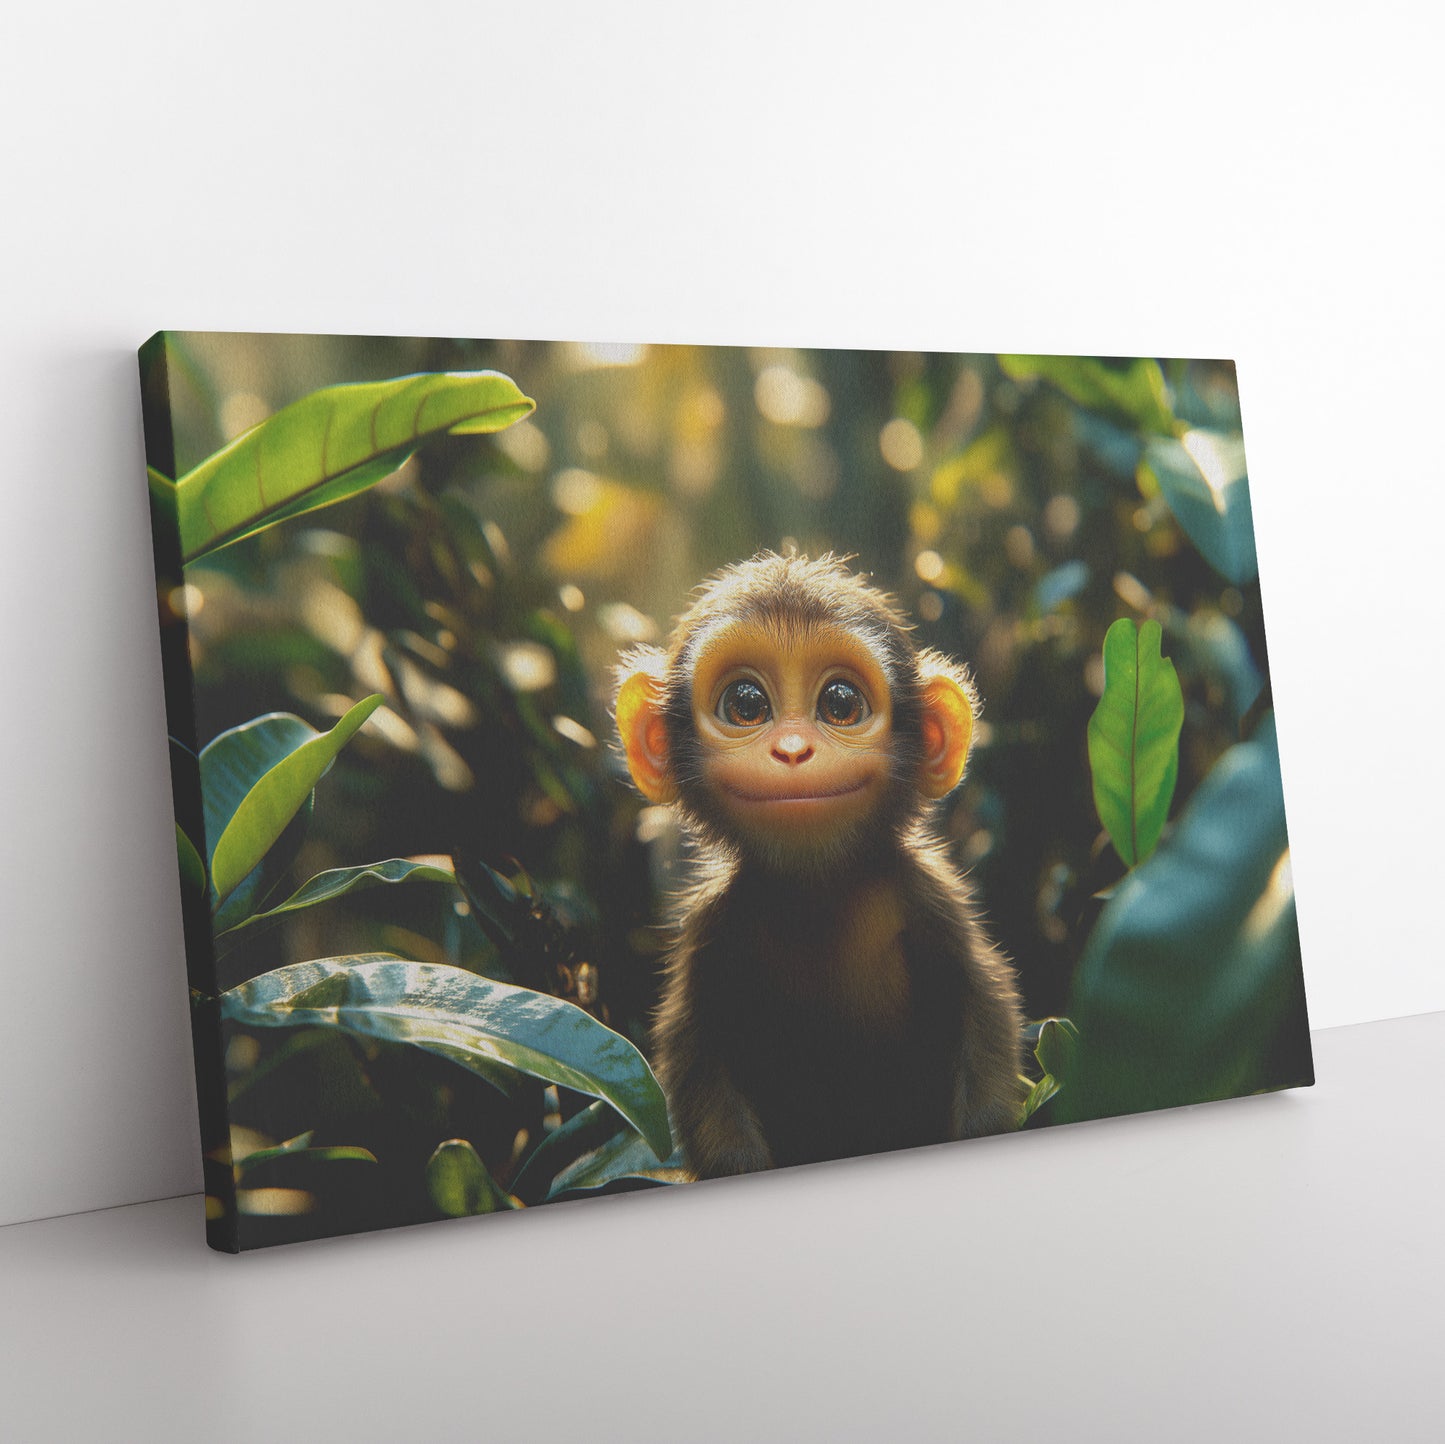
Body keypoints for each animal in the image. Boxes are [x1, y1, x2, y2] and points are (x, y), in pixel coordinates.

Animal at [615, 551, 1024, 1180]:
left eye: (840, 704)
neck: (817, 893)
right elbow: (697, 1059)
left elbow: (986, 1012)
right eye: (746, 705)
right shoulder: (715, 928)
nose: (791, 750)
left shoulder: (928, 897)